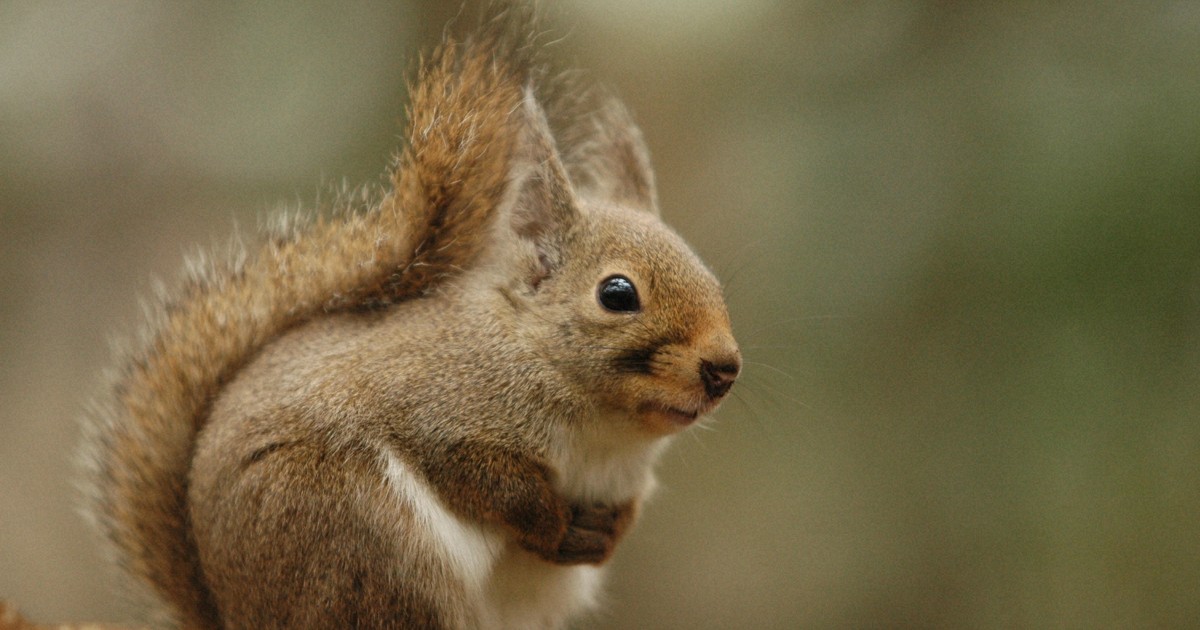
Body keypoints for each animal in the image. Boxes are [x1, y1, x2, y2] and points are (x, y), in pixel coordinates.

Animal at [79, 3, 740, 629]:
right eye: (617, 294)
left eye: (713, 278)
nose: (724, 368)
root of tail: (237, 615)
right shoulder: (436, 414)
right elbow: (490, 482)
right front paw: (554, 523)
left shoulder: (624, 480)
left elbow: (624, 513)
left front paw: (603, 535)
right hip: (363, 543)